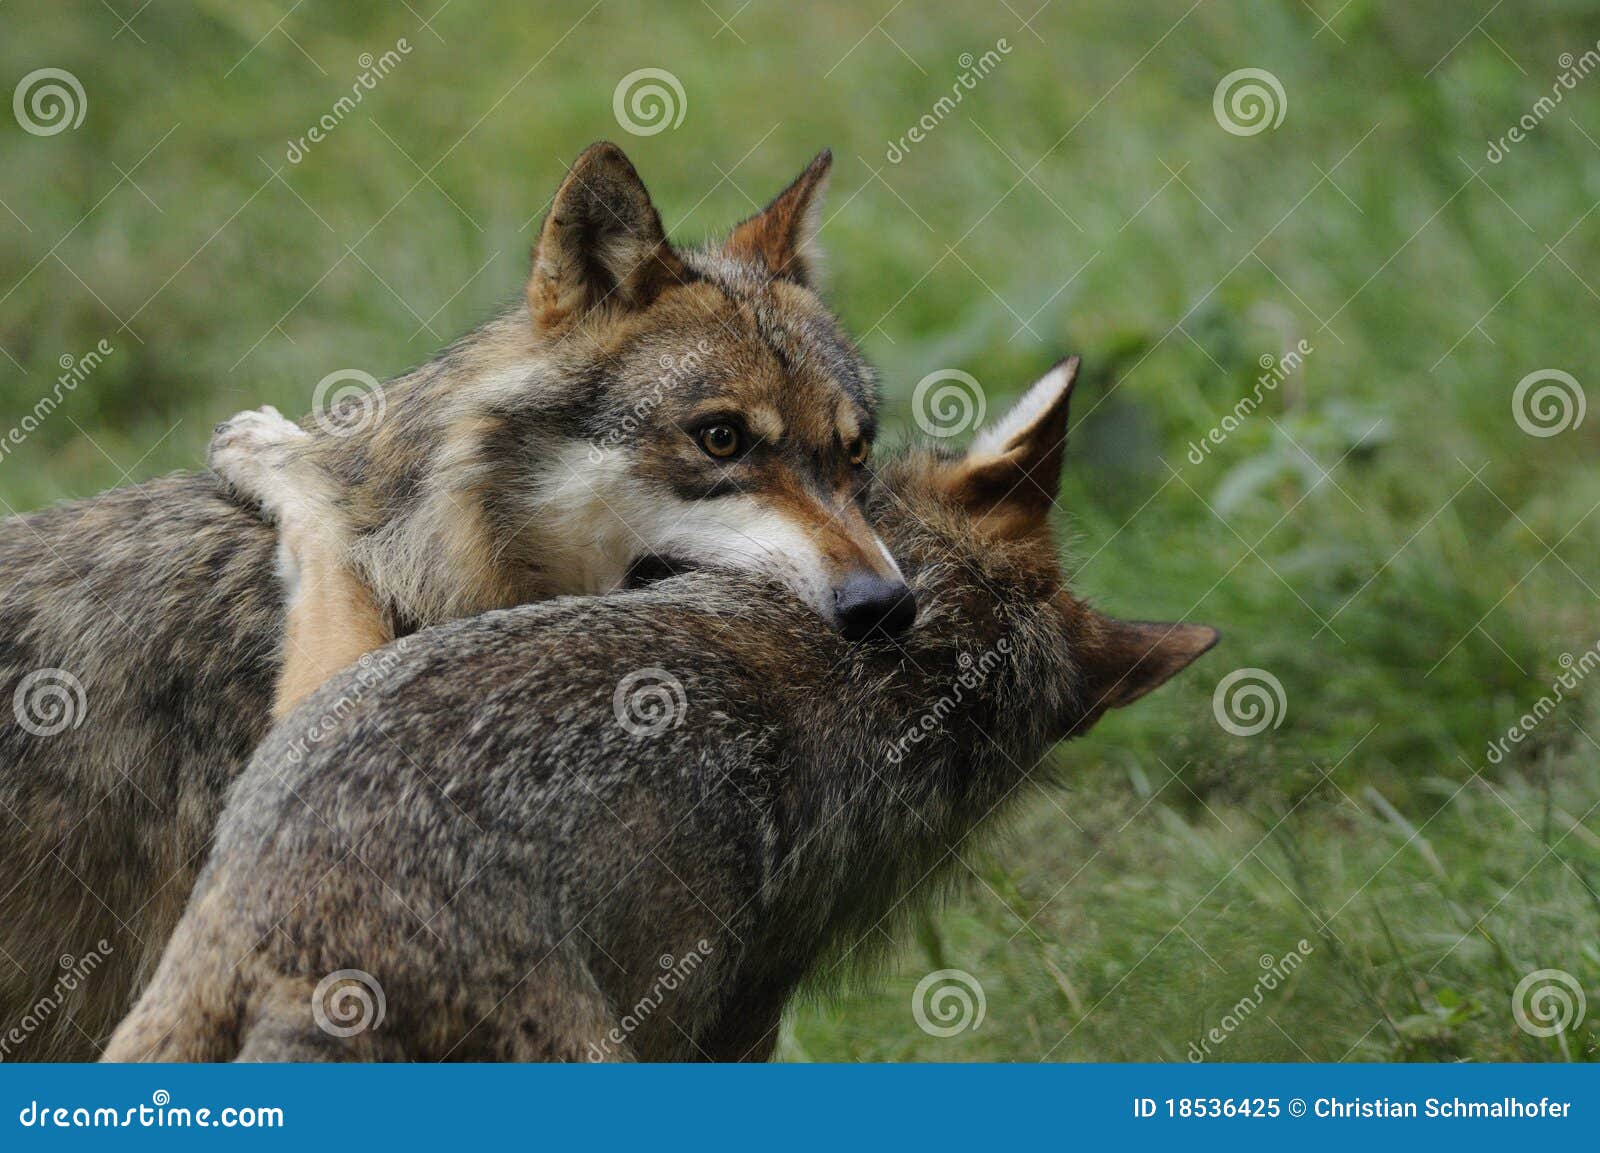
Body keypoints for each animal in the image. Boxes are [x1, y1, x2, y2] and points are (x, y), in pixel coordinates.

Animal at [103, 357, 1218, 1062]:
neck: (915, 661)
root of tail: (307, 940)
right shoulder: (741, 1016)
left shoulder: (342, 673)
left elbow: (331, 531)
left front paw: (275, 450)